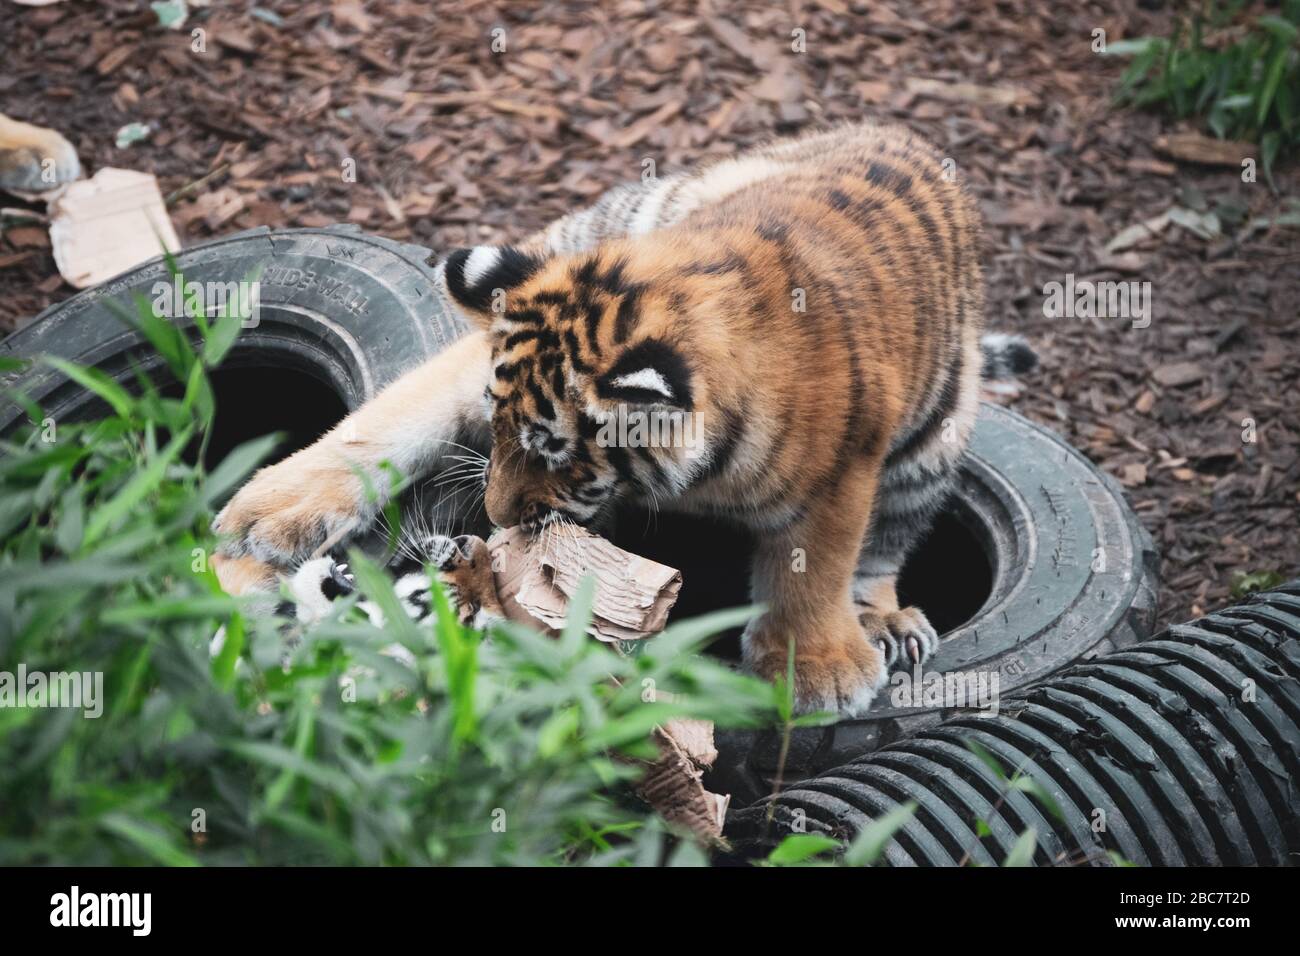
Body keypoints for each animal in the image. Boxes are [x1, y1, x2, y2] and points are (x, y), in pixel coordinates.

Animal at [213, 121, 1035, 716]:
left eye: (555, 451)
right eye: (502, 429)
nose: (497, 517)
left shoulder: (844, 467)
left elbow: (819, 562)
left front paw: (820, 668)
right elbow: (396, 417)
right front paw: (259, 526)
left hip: (936, 435)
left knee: (884, 549)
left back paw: (887, 622)